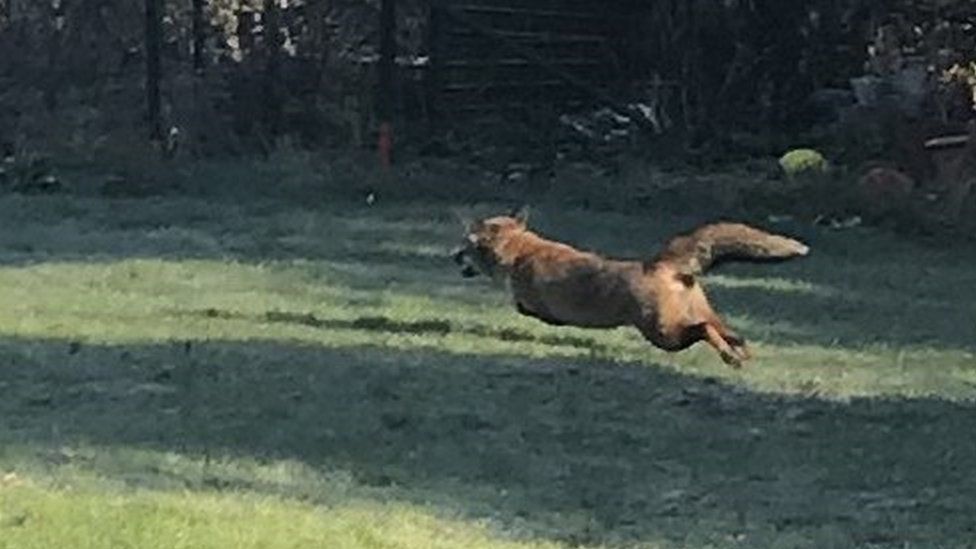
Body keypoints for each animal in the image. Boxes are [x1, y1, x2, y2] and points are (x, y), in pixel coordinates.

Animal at [451, 207, 809, 367]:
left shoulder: (529, 304)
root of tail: (660, 264)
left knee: (704, 330)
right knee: (729, 331)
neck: (522, 251)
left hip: (665, 334)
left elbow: (524, 309)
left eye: (466, 245)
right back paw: (740, 353)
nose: (452, 256)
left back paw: (729, 357)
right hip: (695, 317)